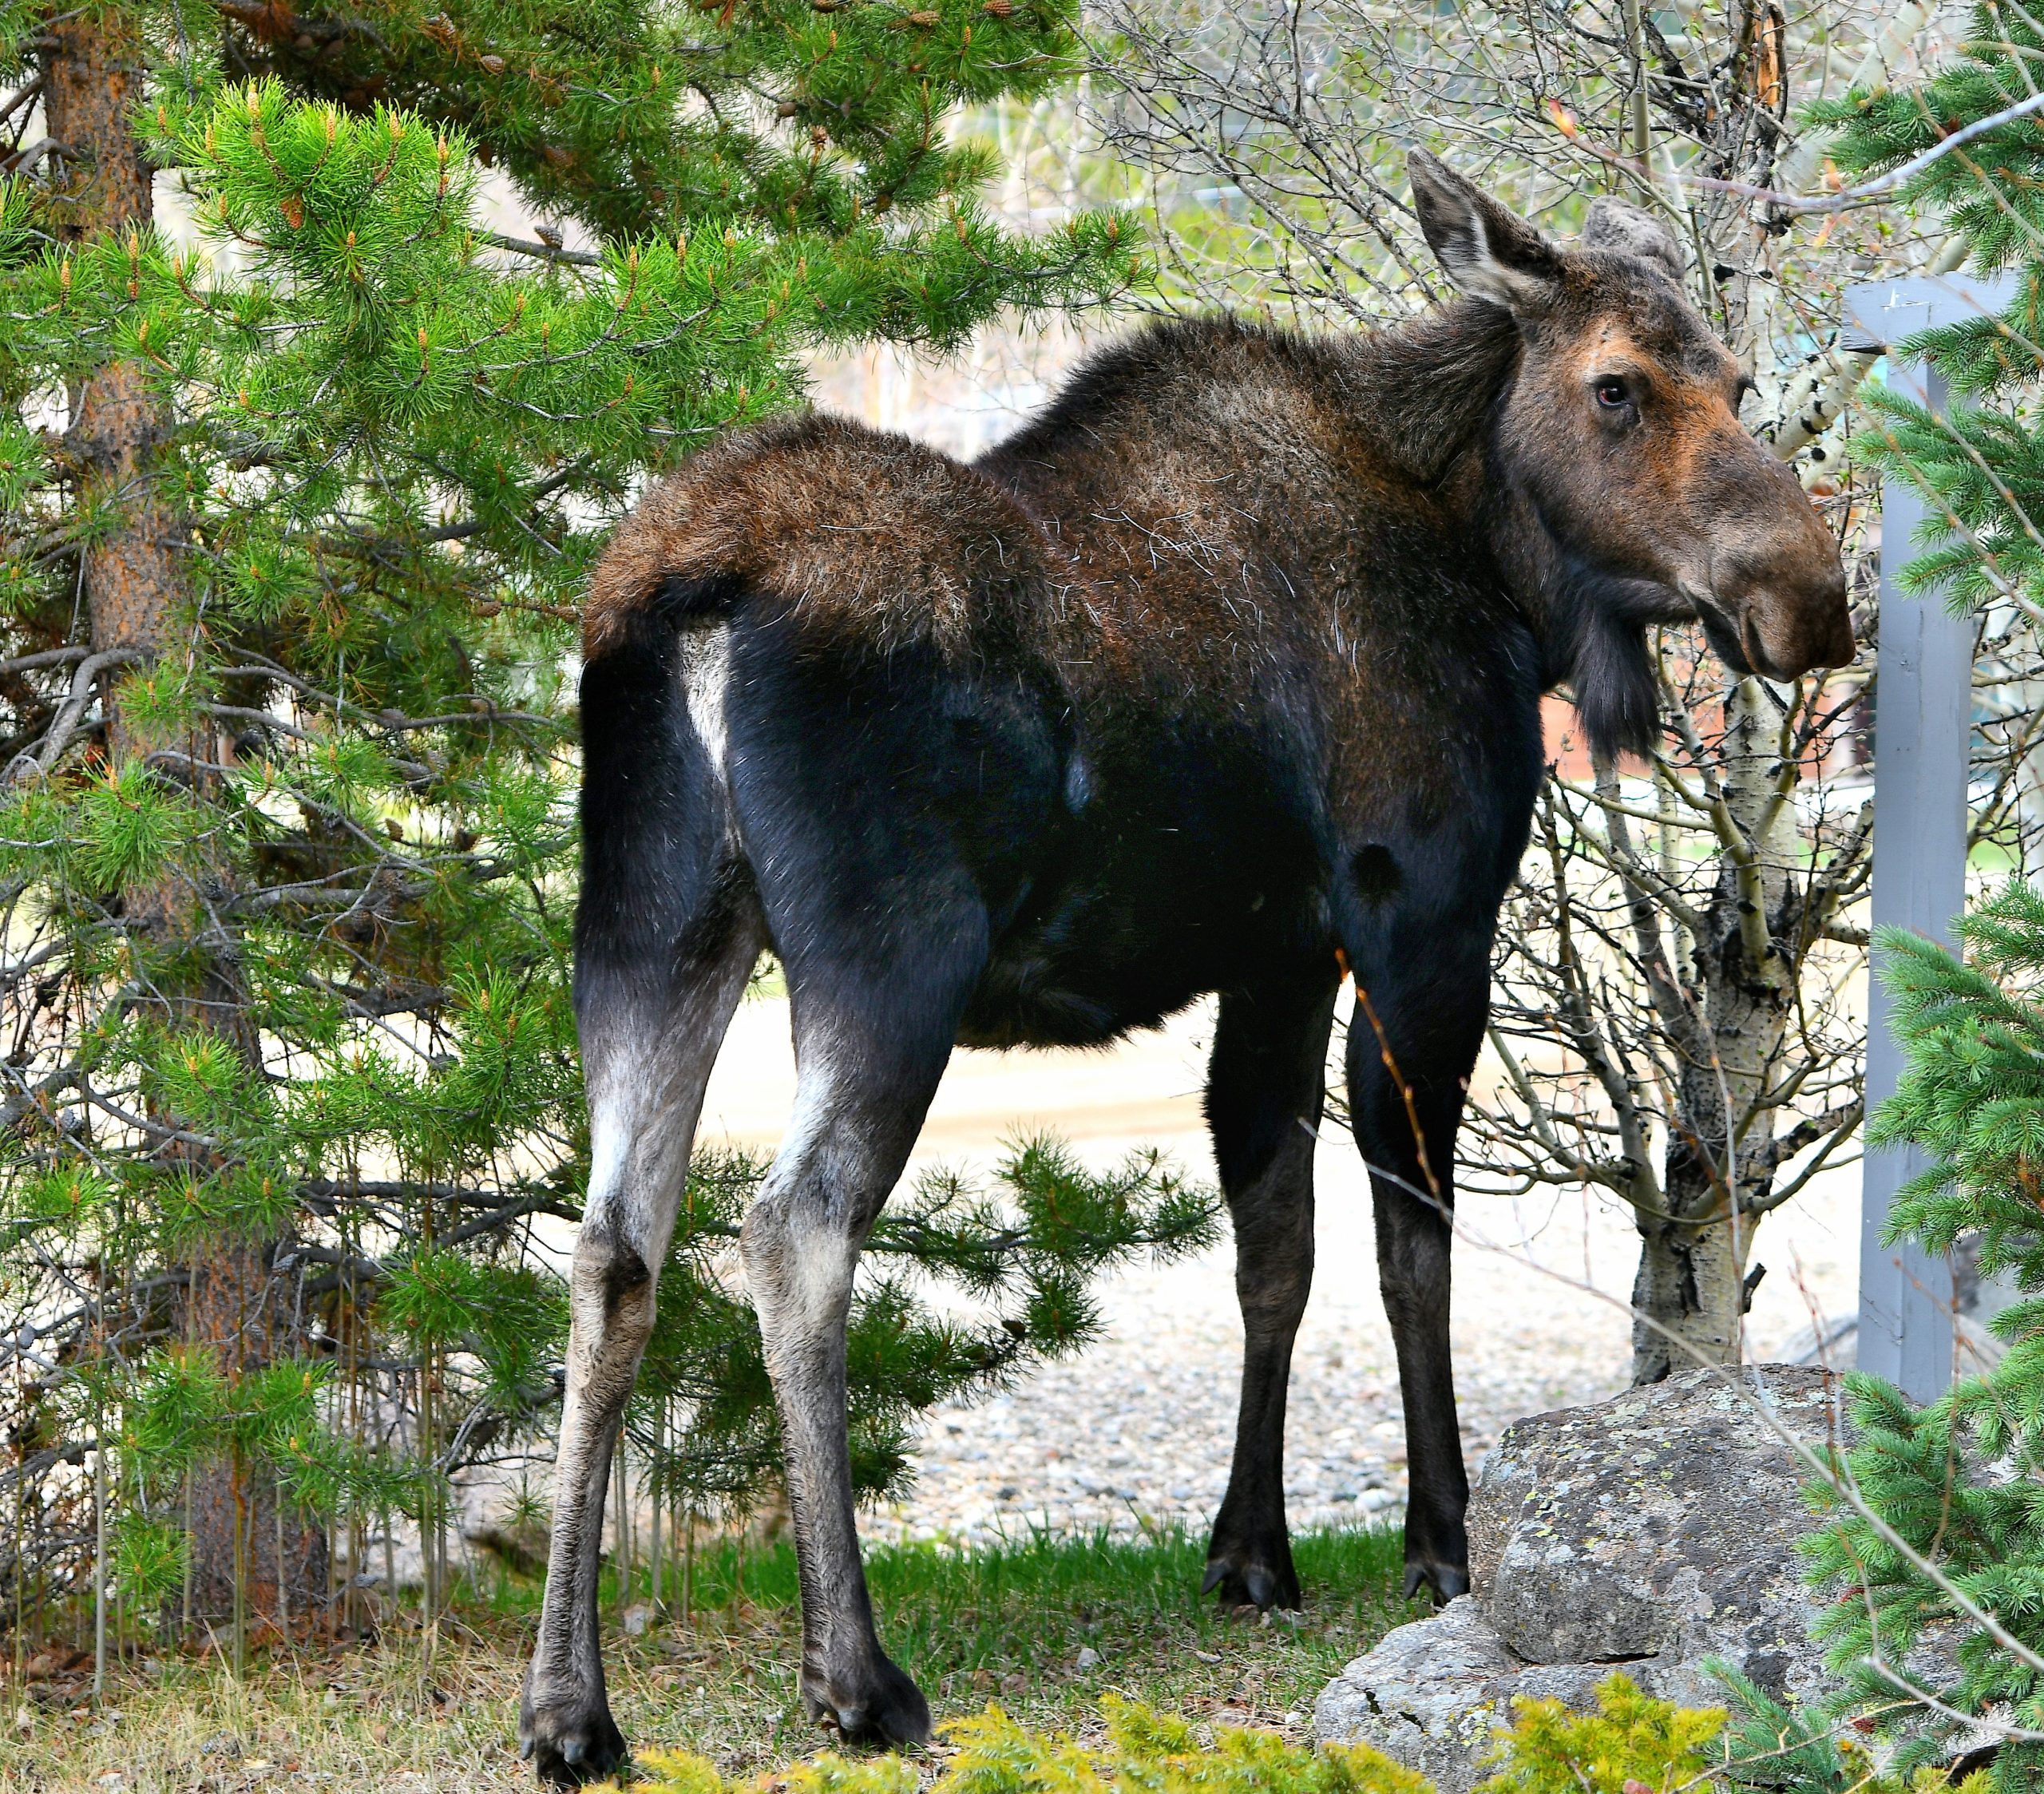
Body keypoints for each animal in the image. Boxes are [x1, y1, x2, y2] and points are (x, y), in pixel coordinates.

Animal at [518, 151, 1852, 1782]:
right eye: (1617, 384)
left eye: (1735, 379)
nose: (1810, 598)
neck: (1498, 574)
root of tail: (682, 605)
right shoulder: (1418, 922)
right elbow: (1411, 1239)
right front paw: (1443, 1536)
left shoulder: (1273, 951)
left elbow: (1273, 1241)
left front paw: (1248, 1547)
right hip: (889, 954)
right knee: (791, 1230)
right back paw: (858, 1675)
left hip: (648, 932)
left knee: (611, 1245)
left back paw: (572, 1706)